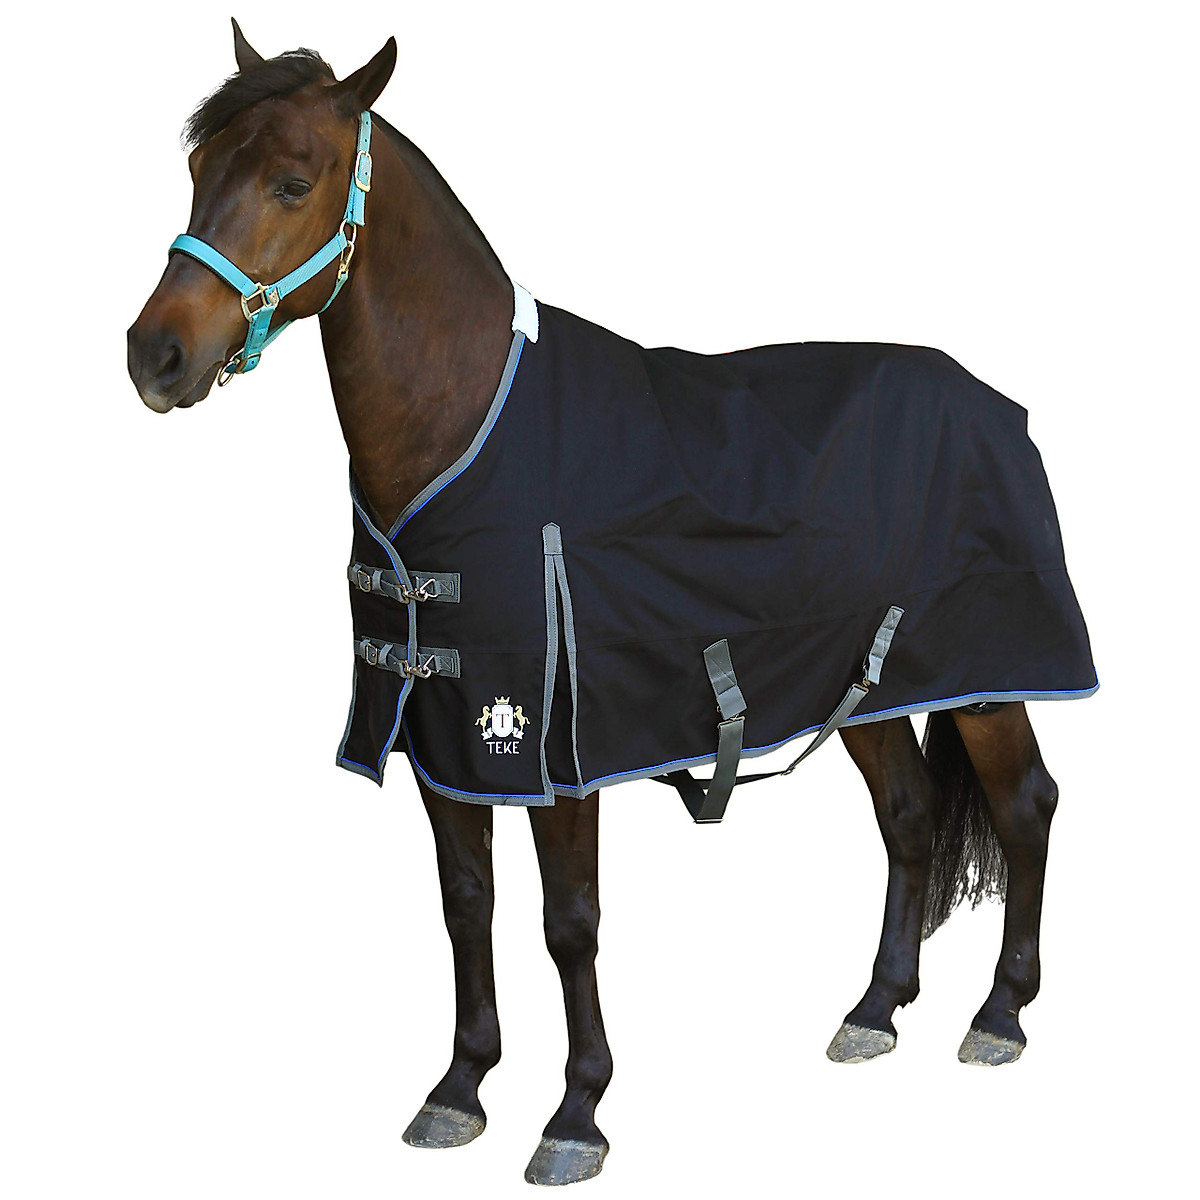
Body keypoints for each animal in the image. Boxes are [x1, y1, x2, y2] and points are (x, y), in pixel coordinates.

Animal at [127, 23, 1091, 1187]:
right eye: (196, 169)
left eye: (292, 181)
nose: (154, 355)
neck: (466, 426)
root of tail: (998, 406)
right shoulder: (444, 730)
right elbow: (467, 908)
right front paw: (459, 1089)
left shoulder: (554, 744)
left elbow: (568, 922)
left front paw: (575, 1115)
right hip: (863, 687)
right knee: (905, 815)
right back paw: (874, 1010)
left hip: (990, 680)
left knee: (1026, 805)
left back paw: (1000, 1015)